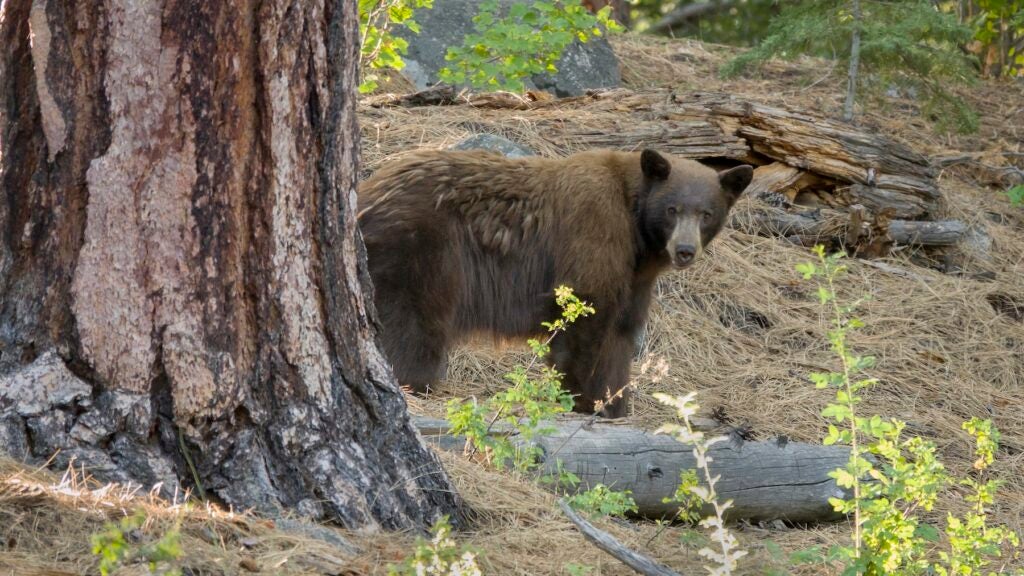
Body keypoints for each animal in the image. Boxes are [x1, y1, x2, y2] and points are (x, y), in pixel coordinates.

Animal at [357, 148, 752, 417]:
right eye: (672, 209)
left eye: (707, 213)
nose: (685, 250)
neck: (635, 228)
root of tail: (366, 191)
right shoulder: (595, 233)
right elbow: (584, 319)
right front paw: (579, 398)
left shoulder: (635, 279)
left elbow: (620, 335)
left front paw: (614, 403)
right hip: (421, 254)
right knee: (413, 329)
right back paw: (413, 383)